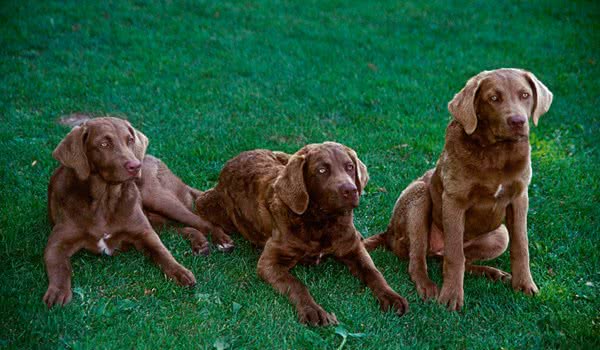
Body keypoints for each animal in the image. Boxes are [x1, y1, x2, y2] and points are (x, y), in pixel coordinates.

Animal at [44, 117, 221, 306]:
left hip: (159, 199)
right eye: (104, 144)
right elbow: (59, 267)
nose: (136, 166)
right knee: (181, 228)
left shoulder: (144, 233)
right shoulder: (56, 244)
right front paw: (57, 292)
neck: (104, 200)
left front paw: (180, 272)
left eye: (130, 140)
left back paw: (222, 241)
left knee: (201, 222)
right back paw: (200, 243)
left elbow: (163, 252)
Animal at [196, 142, 408, 326]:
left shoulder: (353, 248)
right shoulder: (269, 263)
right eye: (322, 170)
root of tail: (235, 158)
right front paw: (313, 310)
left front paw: (391, 297)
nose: (351, 190)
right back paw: (222, 240)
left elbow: (373, 272)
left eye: (349, 167)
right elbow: (296, 284)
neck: (320, 223)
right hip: (209, 203)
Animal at [364, 69, 552, 310]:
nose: (518, 121)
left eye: (525, 95)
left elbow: (521, 244)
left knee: (457, 258)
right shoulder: (454, 201)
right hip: (419, 198)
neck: (496, 153)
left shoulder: (520, 198)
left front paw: (525, 285)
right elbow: (455, 255)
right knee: (419, 259)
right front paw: (451, 296)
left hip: (500, 234)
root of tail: (387, 231)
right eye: (494, 98)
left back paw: (493, 274)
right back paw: (428, 286)